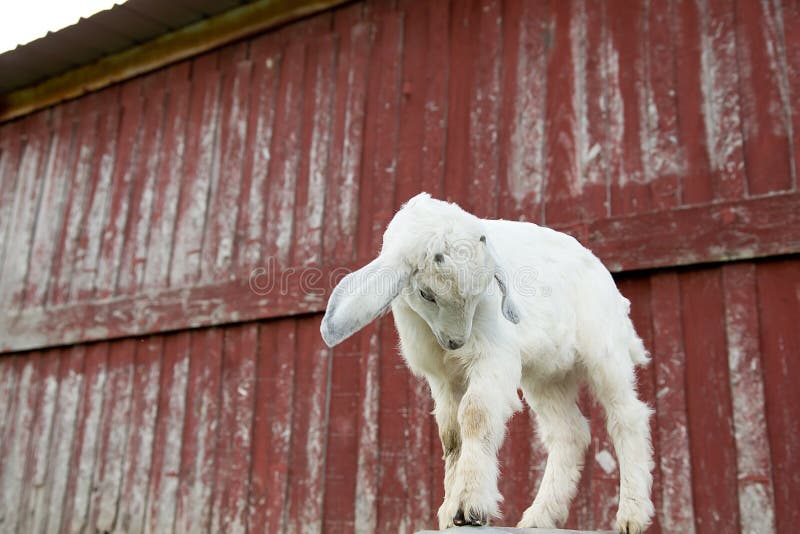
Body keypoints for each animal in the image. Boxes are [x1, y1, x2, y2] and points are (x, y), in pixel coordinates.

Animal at [320, 193, 654, 533]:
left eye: (481, 292)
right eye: (426, 294)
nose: (456, 342)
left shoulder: (493, 357)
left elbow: (475, 415)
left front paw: (469, 506)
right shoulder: (443, 378)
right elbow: (450, 434)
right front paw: (448, 513)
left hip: (604, 350)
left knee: (627, 417)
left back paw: (632, 513)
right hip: (547, 375)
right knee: (570, 432)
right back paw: (538, 517)